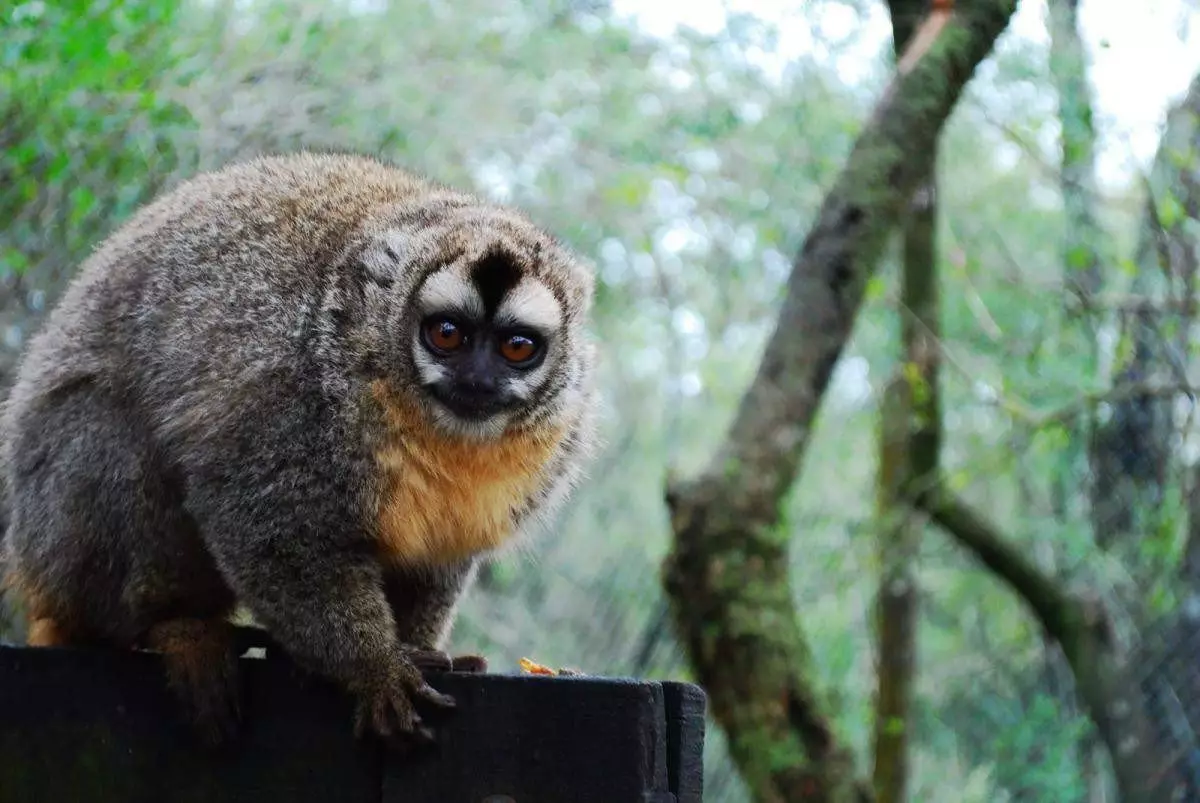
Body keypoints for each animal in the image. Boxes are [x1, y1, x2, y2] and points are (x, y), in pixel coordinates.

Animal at [0, 151, 600, 744]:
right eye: (447, 334)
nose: (477, 381)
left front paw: (418, 649)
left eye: (517, 347)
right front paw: (377, 666)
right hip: (56, 542)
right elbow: (265, 524)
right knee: (111, 436)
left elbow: (438, 559)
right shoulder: (295, 397)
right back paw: (175, 626)